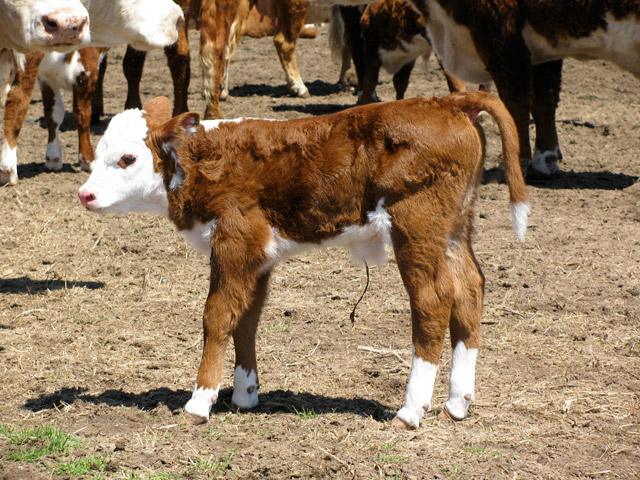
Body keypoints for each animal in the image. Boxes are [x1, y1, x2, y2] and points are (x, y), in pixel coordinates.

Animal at [0, 46, 106, 184]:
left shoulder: (48, 76)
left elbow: (53, 113)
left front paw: (53, 158)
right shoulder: (88, 63)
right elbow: (82, 114)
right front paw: (88, 160)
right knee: (17, 100)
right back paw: (8, 169)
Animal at [78, 92, 530, 429]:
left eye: (127, 159)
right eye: (97, 154)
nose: (85, 194)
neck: (204, 161)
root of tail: (447, 101)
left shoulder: (235, 242)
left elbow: (217, 315)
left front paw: (200, 402)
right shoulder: (259, 255)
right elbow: (247, 317)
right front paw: (244, 394)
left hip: (416, 226)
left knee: (433, 299)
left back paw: (410, 410)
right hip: (454, 229)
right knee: (470, 288)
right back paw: (458, 402)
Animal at [408, 0, 640, 176]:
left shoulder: (499, 32)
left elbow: (515, 101)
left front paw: (514, 162)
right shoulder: (543, 49)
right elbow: (545, 99)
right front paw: (546, 157)